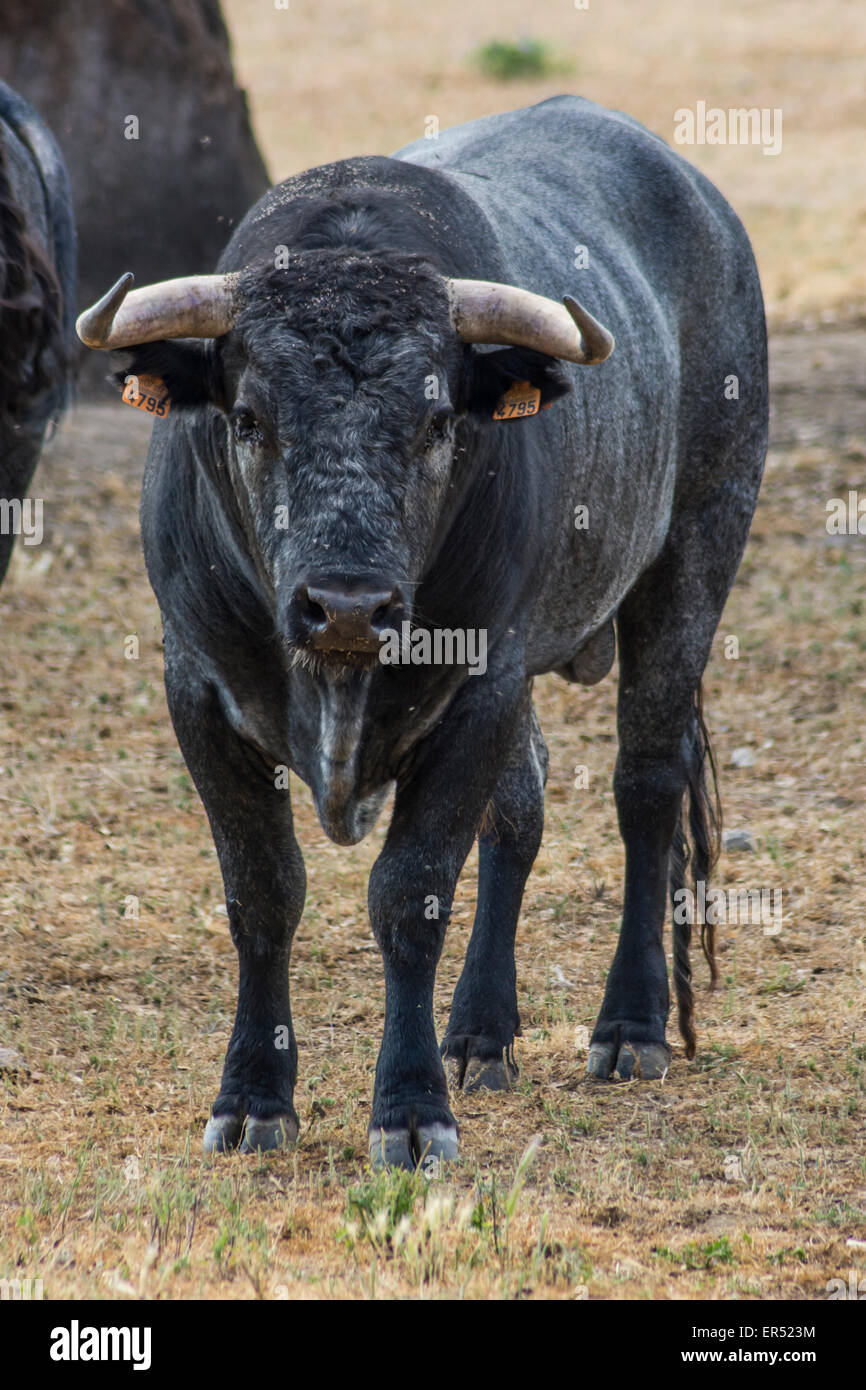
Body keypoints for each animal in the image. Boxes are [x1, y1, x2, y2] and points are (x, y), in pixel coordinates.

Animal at [78, 96, 768, 1168]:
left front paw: (408, 1110)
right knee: (522, 814)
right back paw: (480, 1033)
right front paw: (254, 1097)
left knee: (645, 789)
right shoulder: (198, 691)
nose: (348, 607)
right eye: (247, 417)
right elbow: (262, 892)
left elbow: (411, 895)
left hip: (696, 552)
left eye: (441, 420)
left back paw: (632, 1026)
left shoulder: (478, 688)